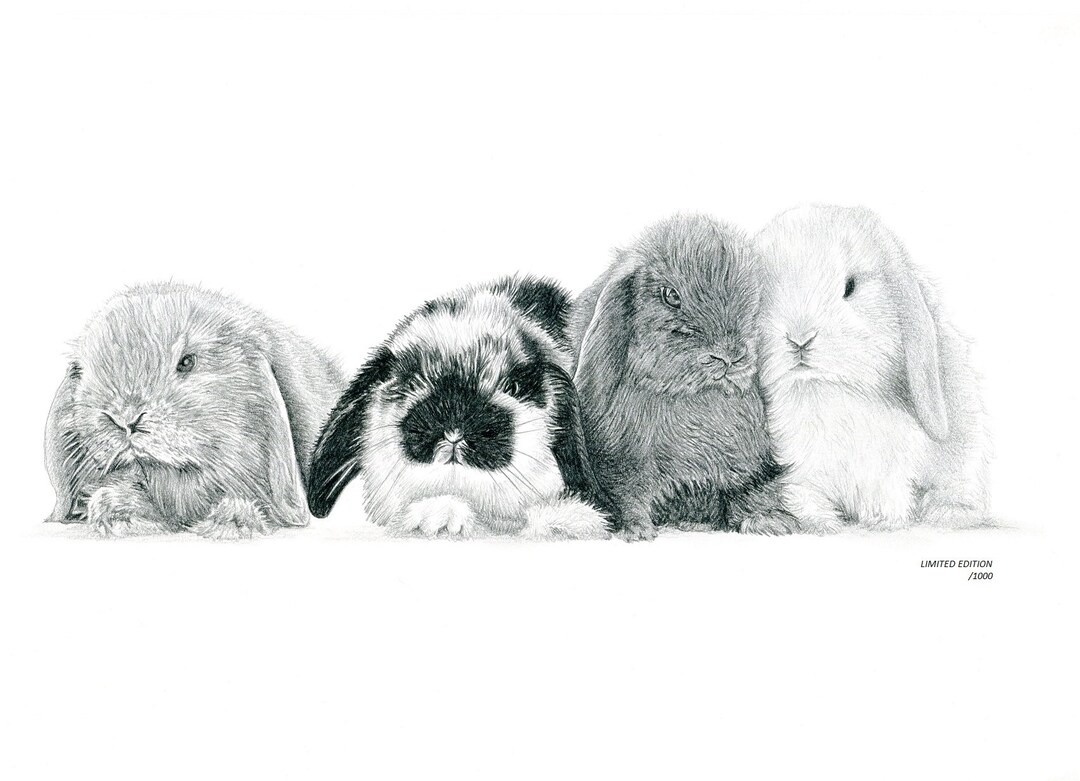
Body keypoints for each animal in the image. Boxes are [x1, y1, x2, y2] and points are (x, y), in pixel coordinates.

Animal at [569, 214, 796, 541]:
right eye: (671, 296)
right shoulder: (621, 464)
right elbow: (628, 496)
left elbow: (752, 491)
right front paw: (638, 532)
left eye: (753, 301)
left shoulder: (750, 462)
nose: (729, 356)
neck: (684, 396)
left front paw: (772, 523)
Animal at [753, 205, 992, 532]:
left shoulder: (891, 465)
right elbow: (804, 496)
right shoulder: (799, 470)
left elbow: (890, 493)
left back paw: (946, 513)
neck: (828, 387)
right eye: (761, 292)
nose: (799, 338)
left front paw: (883, 522)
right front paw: (820, 524)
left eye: (850, 287)